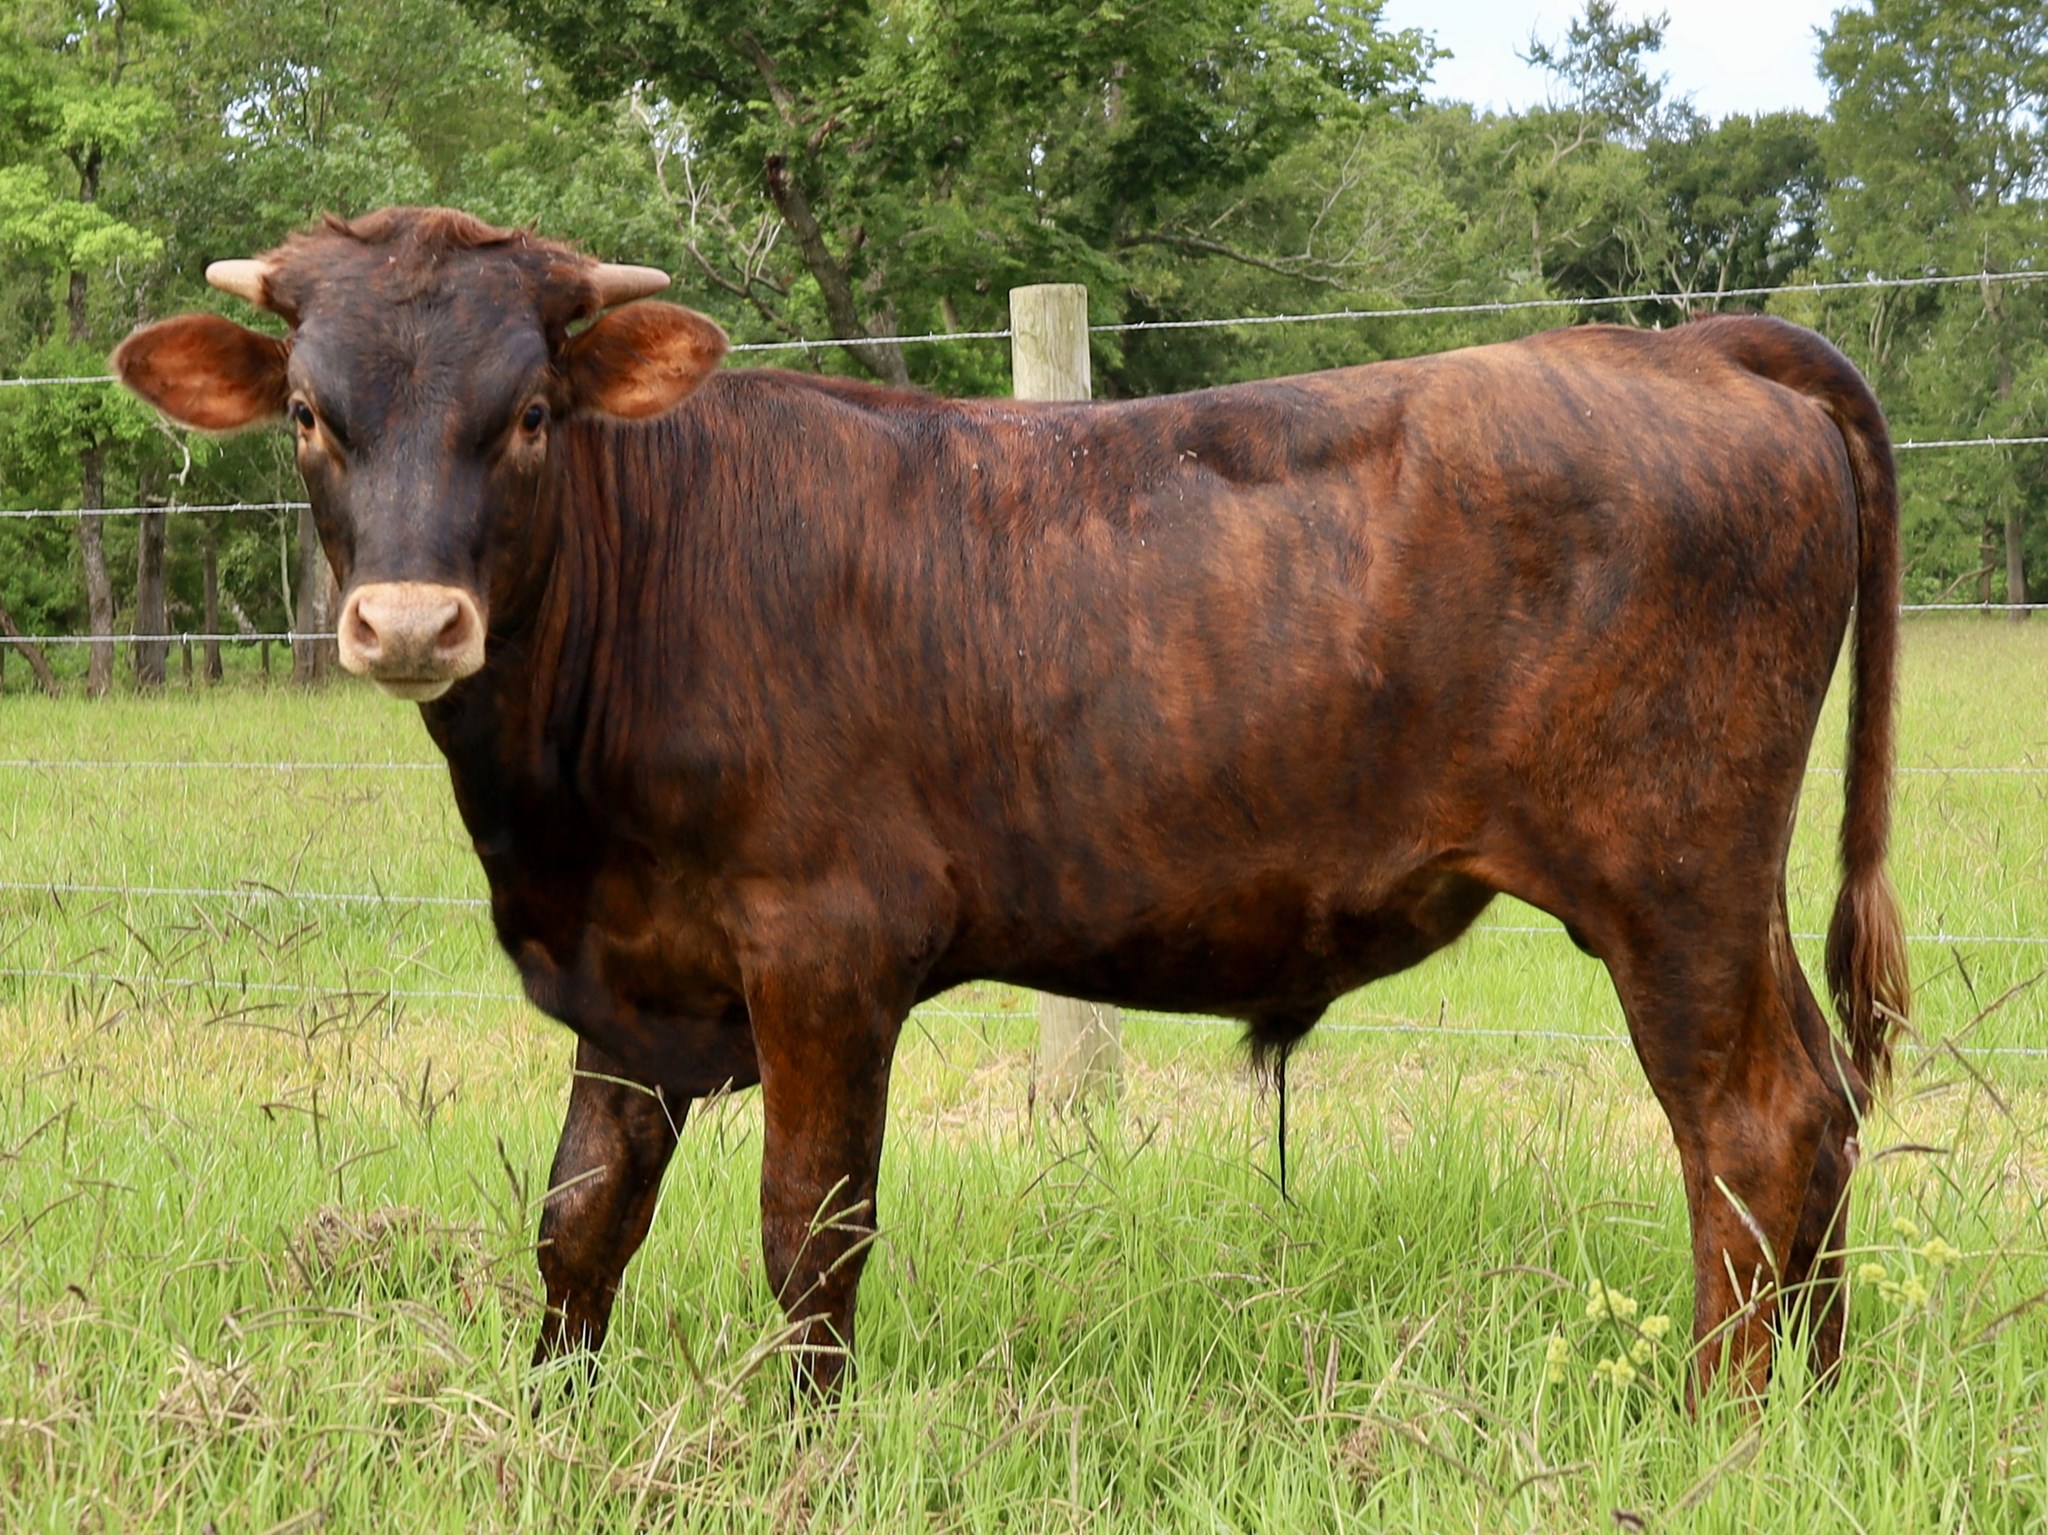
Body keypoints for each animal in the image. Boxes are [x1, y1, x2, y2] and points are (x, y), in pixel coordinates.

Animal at [112, 207, 1910, 1406]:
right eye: (309, 416)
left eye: (532, 415)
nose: (411, 623)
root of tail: (1682, 343)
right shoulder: (625, 973)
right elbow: (578, 1222)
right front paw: (551, 1422)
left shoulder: (827, 952)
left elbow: (810, 1230)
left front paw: (803, 1447)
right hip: (1726, 884)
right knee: (1819, 1111)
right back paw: (1815, 1402)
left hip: (1666, 873)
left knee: (1748, 1128)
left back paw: (1727, 1421)